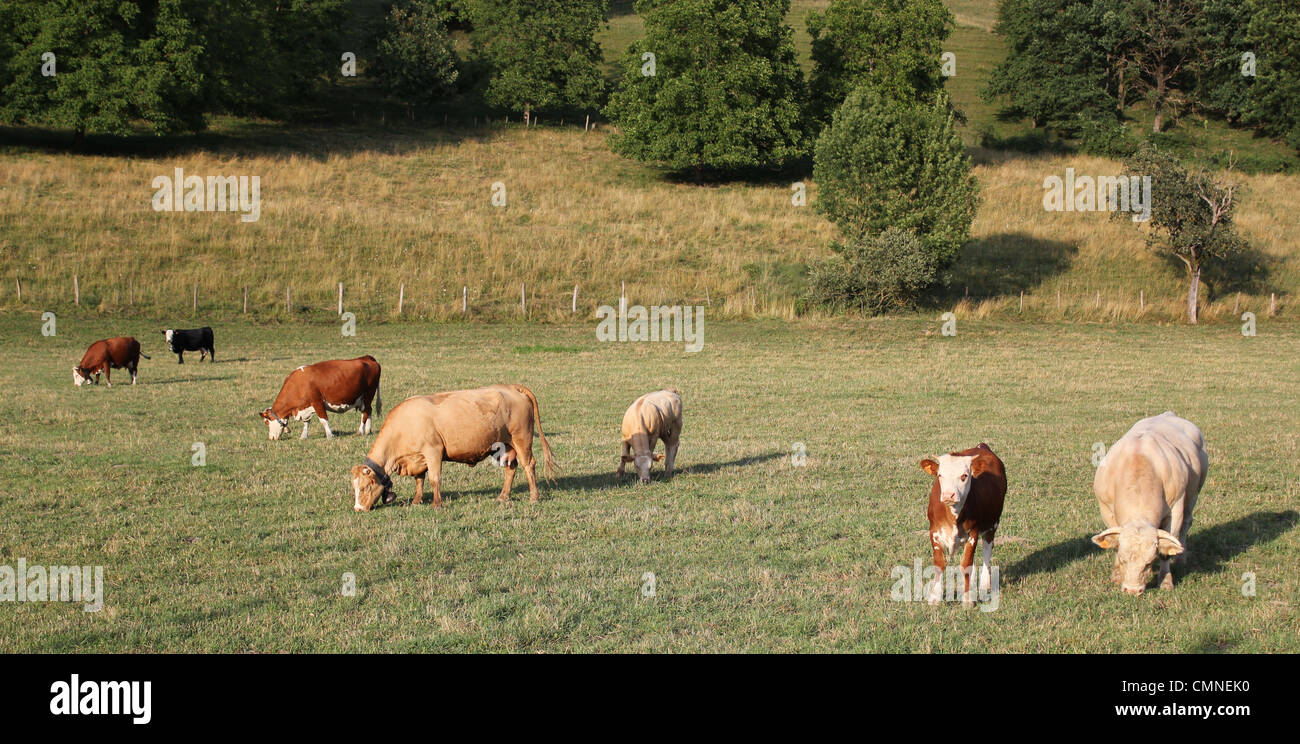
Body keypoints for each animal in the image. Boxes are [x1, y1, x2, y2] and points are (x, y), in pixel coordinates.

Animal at [349, 384, 557, 511]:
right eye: (354, 487)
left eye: (366, 487)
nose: (358, 509)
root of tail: (511, 387)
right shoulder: (417, 457)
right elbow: (419, 480)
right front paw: (416, 501)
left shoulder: (433, 451)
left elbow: (434, 479)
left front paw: (437, 504)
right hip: (506, 445)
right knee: (511, 468)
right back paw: (503, 496)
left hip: (522, 439)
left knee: (529, 465)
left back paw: (534, 497)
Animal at [919, 443, 1007, 607]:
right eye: (940, 475)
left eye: (964, 476)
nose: (948, 495)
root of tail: (982, 446)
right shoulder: (934, 531)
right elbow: (939, 564)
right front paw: (935, 597)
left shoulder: (973, 532)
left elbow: (966, 564)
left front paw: (967, 599)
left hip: (992, 525)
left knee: (987, 550)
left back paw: (984, 584)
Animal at [1091, 411, 1208, 595]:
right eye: (1123, 559)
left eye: (1149, 562)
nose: (1132, 590)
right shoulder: (1106, 508)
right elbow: (1115, 543)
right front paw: (1116, 575)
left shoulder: (1176, 509)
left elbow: (1167, 550)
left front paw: (1166, 581)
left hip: (1194, 493)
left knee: (1186, 524)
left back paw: (1181, 558)